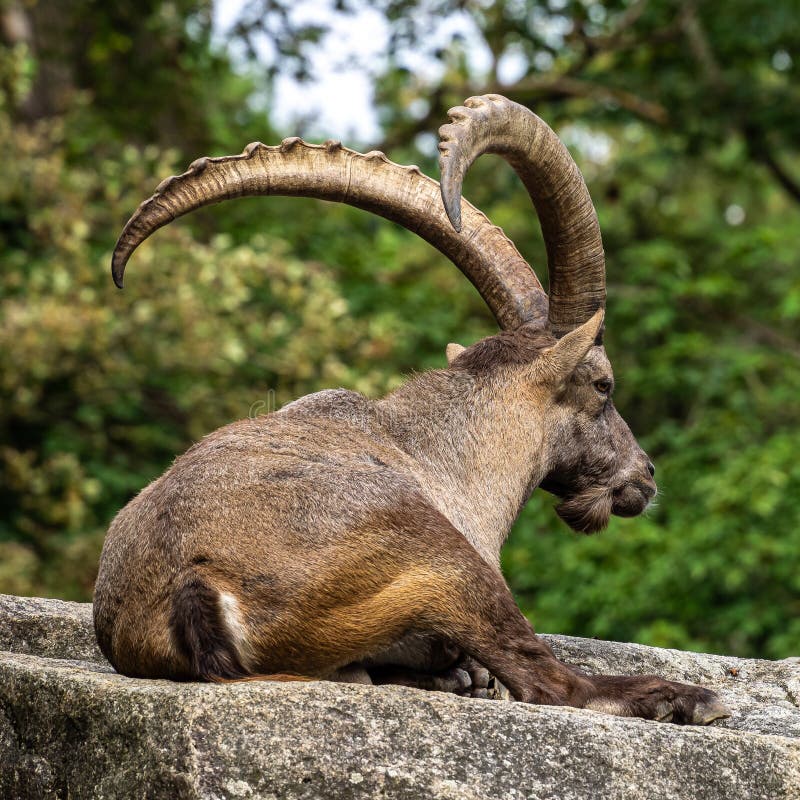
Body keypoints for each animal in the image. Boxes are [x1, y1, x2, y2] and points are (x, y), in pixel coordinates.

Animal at [94, 94, 729, 725]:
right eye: (603, 384)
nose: (644, 474)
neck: (447, 454)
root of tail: (195, 584)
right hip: (438, 556)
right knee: (549, 683)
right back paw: (687, 698)